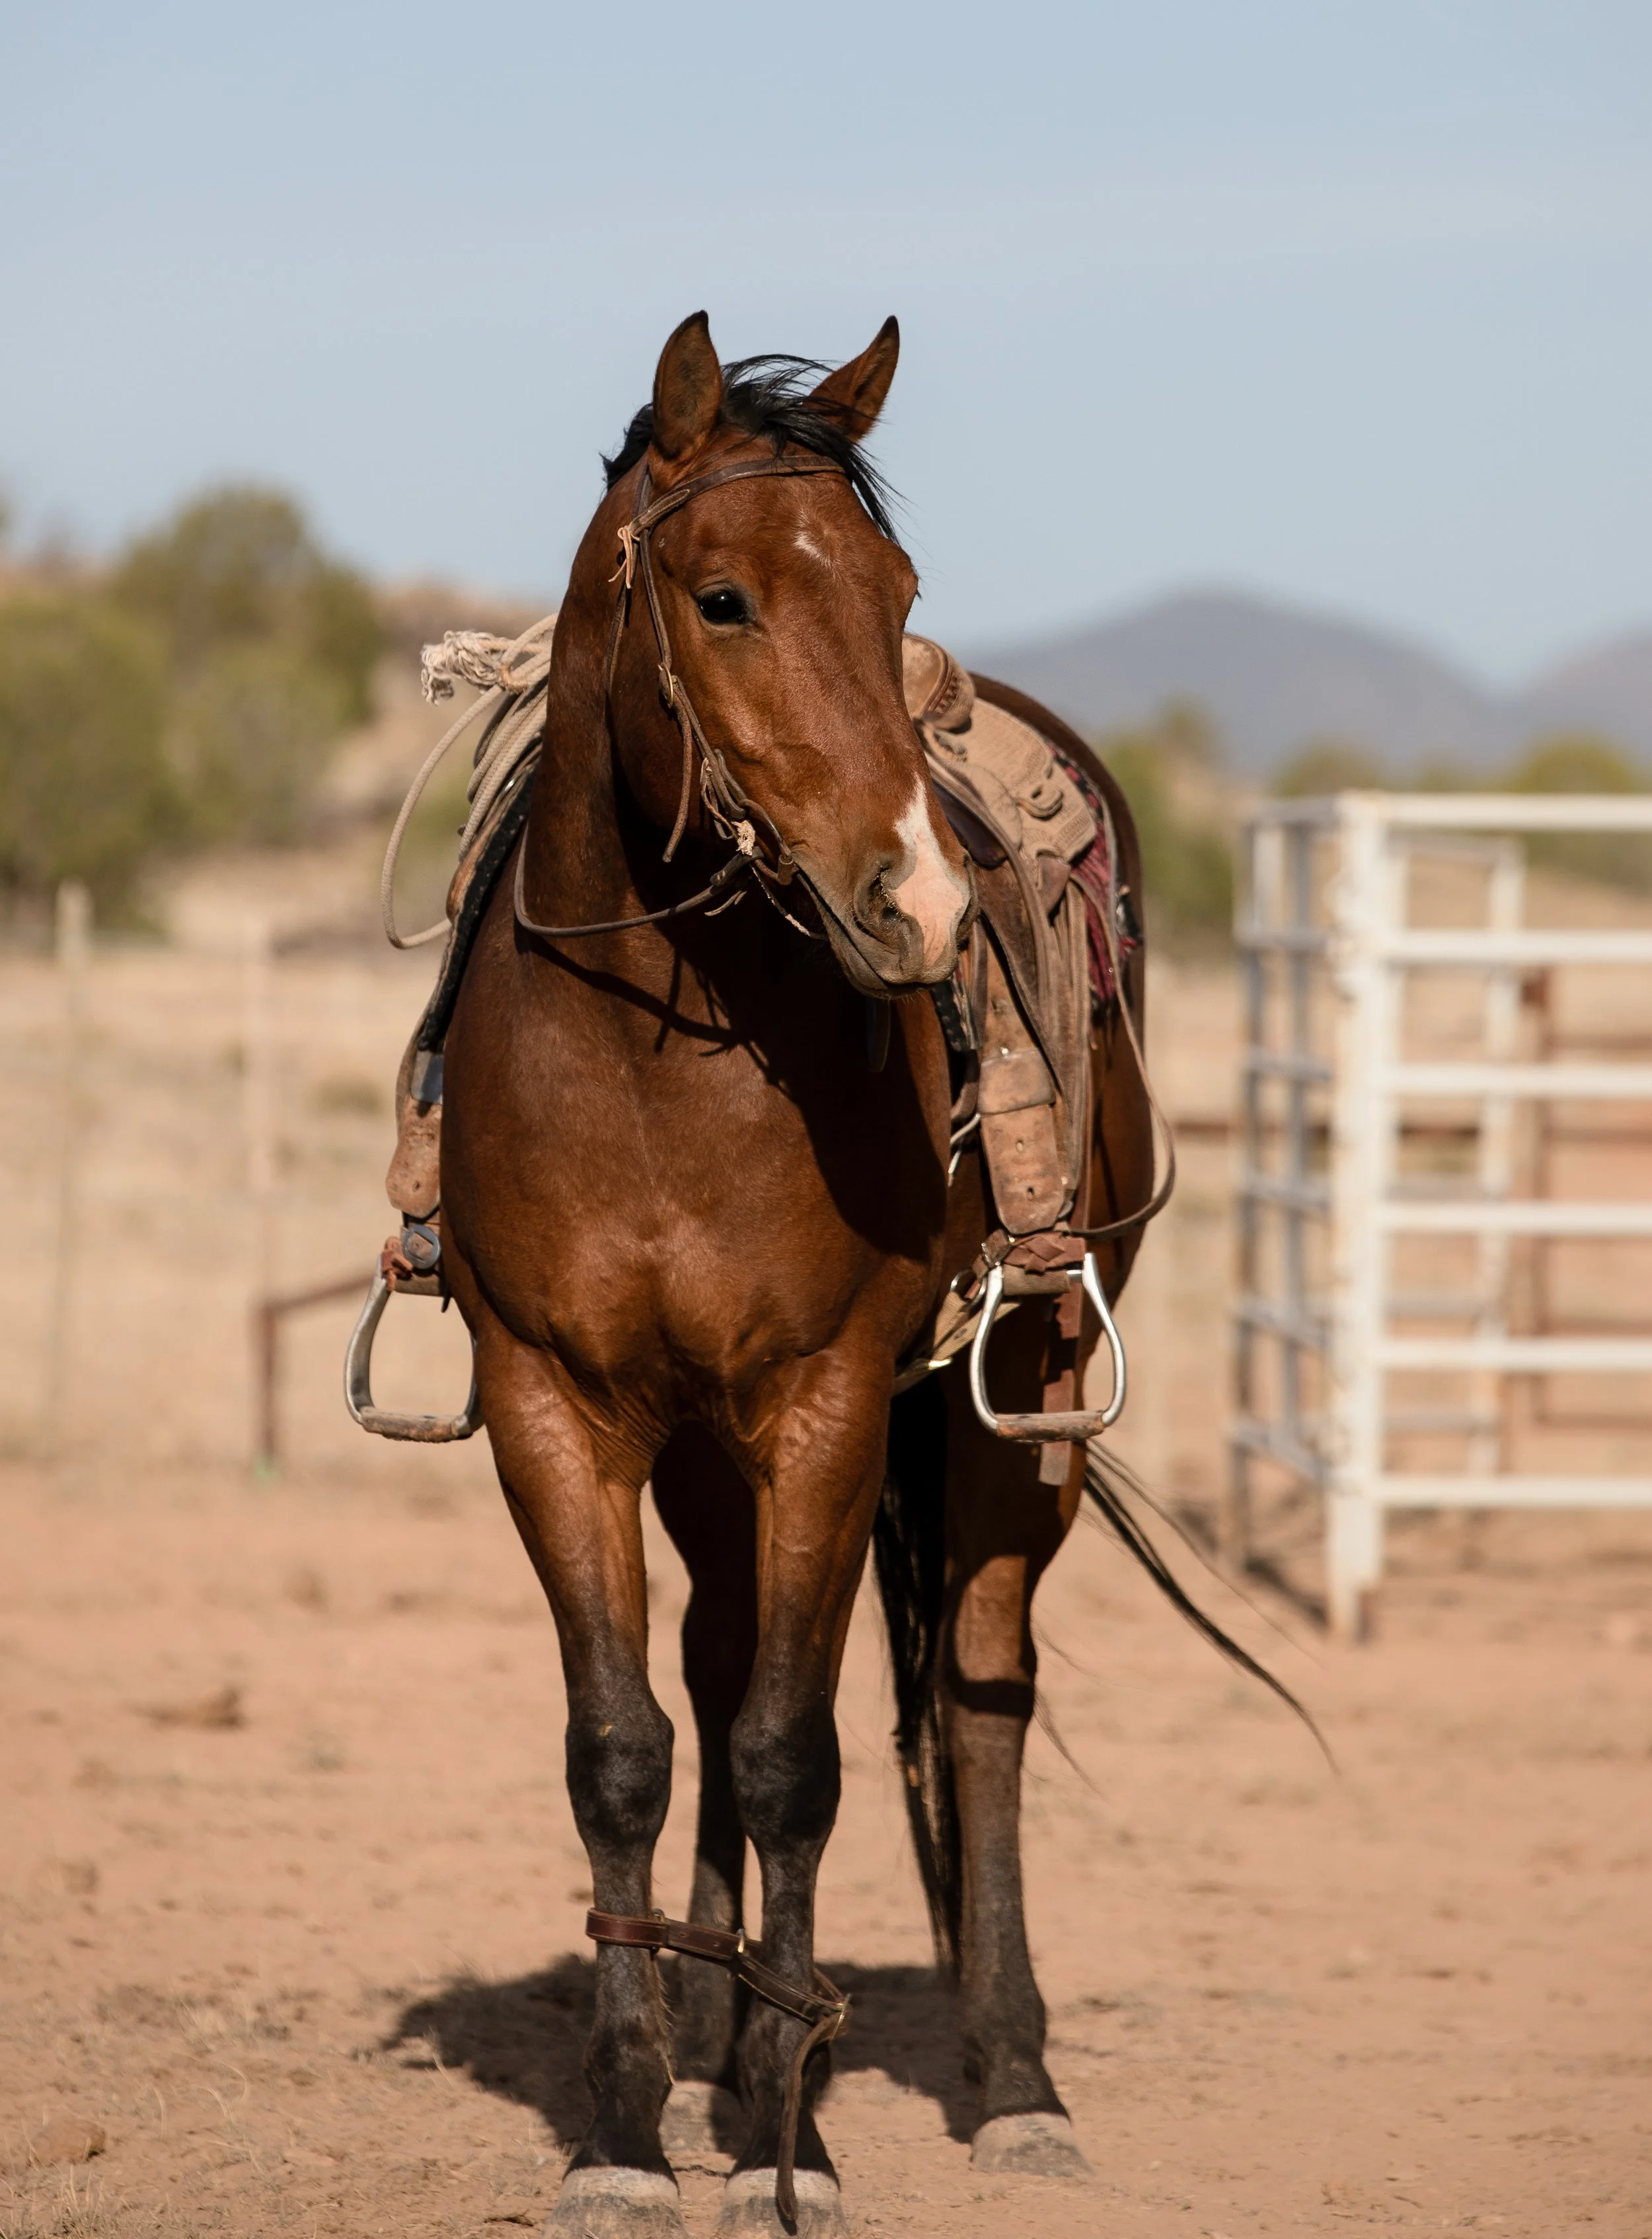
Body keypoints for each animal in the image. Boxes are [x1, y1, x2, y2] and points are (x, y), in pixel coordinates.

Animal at [438, 312, 1157, 2239]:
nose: (916, 904)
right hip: (701, 1451)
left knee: (975, 1696)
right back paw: (711, 2030)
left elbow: (796, 1757)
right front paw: (628, 2125)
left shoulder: (826, 1405)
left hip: (1015, 1403)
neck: (652, 1064)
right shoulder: (555, 1406)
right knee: (713, 1663)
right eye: (722, 596)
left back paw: (1013, 2080)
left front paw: (793, 2130)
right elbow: (623, 1744)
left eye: (893, 589)